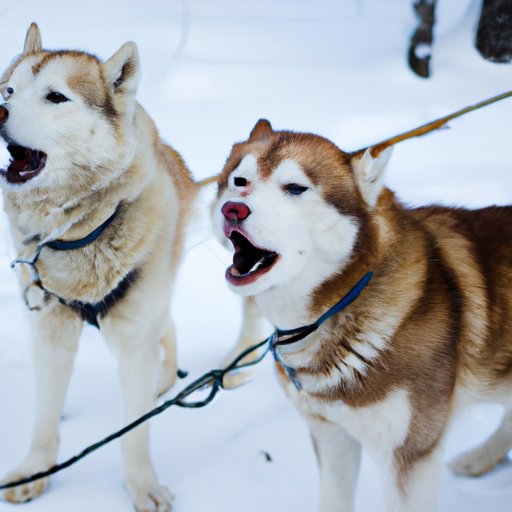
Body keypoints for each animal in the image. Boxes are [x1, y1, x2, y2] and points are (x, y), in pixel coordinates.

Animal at [0, 23, 199, 508]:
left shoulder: (133, 339)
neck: (80, 233)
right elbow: (43, 418)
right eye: (9, 89)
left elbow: (134, 433)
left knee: (167, 329)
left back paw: (163, 381)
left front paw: (142, 485)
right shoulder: (49, 329)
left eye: (56, 97)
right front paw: (35, 470)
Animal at [213, 120, 512, 512]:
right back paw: (481, 458)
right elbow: (334, 499)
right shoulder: (332, 435)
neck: (344, 303)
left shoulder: (410, 454)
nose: (233, 209)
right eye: (239, 181)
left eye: (294, 188)